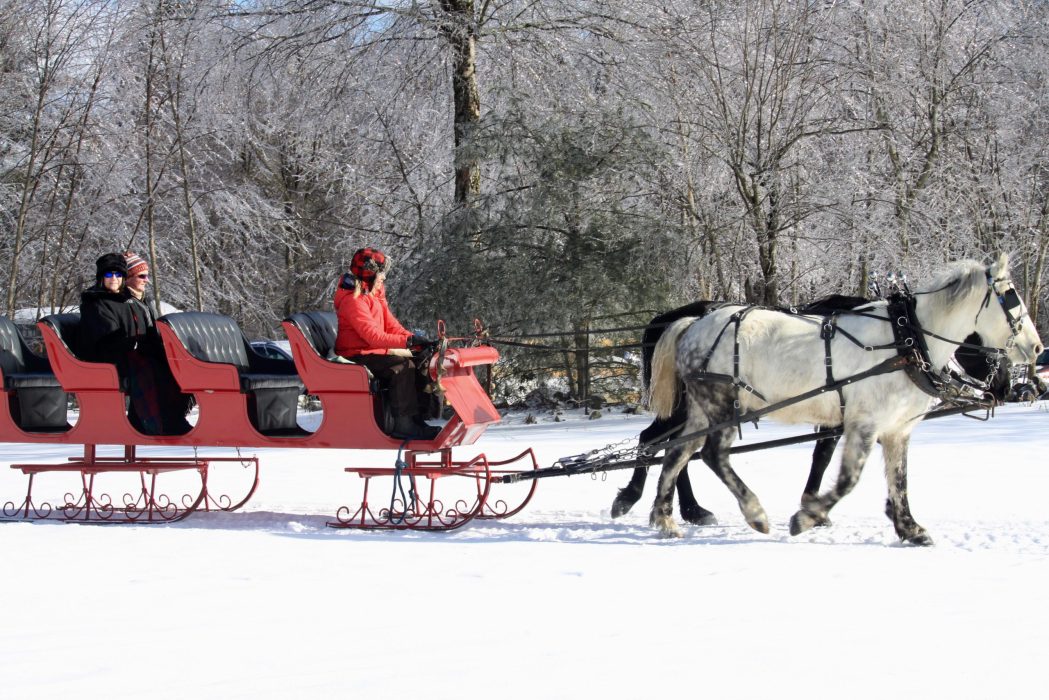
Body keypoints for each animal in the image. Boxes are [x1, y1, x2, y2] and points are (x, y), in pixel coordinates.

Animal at [646, 254, 1042, 544]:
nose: (1036, 349)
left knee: (677, 453)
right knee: (711, 454)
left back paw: (665, 518)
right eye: (1011, 297)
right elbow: (847, 478)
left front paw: (909, 528)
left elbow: (899, 478)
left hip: (701, 410)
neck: (907, 339)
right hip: (723, 405)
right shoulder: (863, 422)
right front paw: (808, 516)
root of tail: (691, 325)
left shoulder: (897, 429)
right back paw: (753, 513)